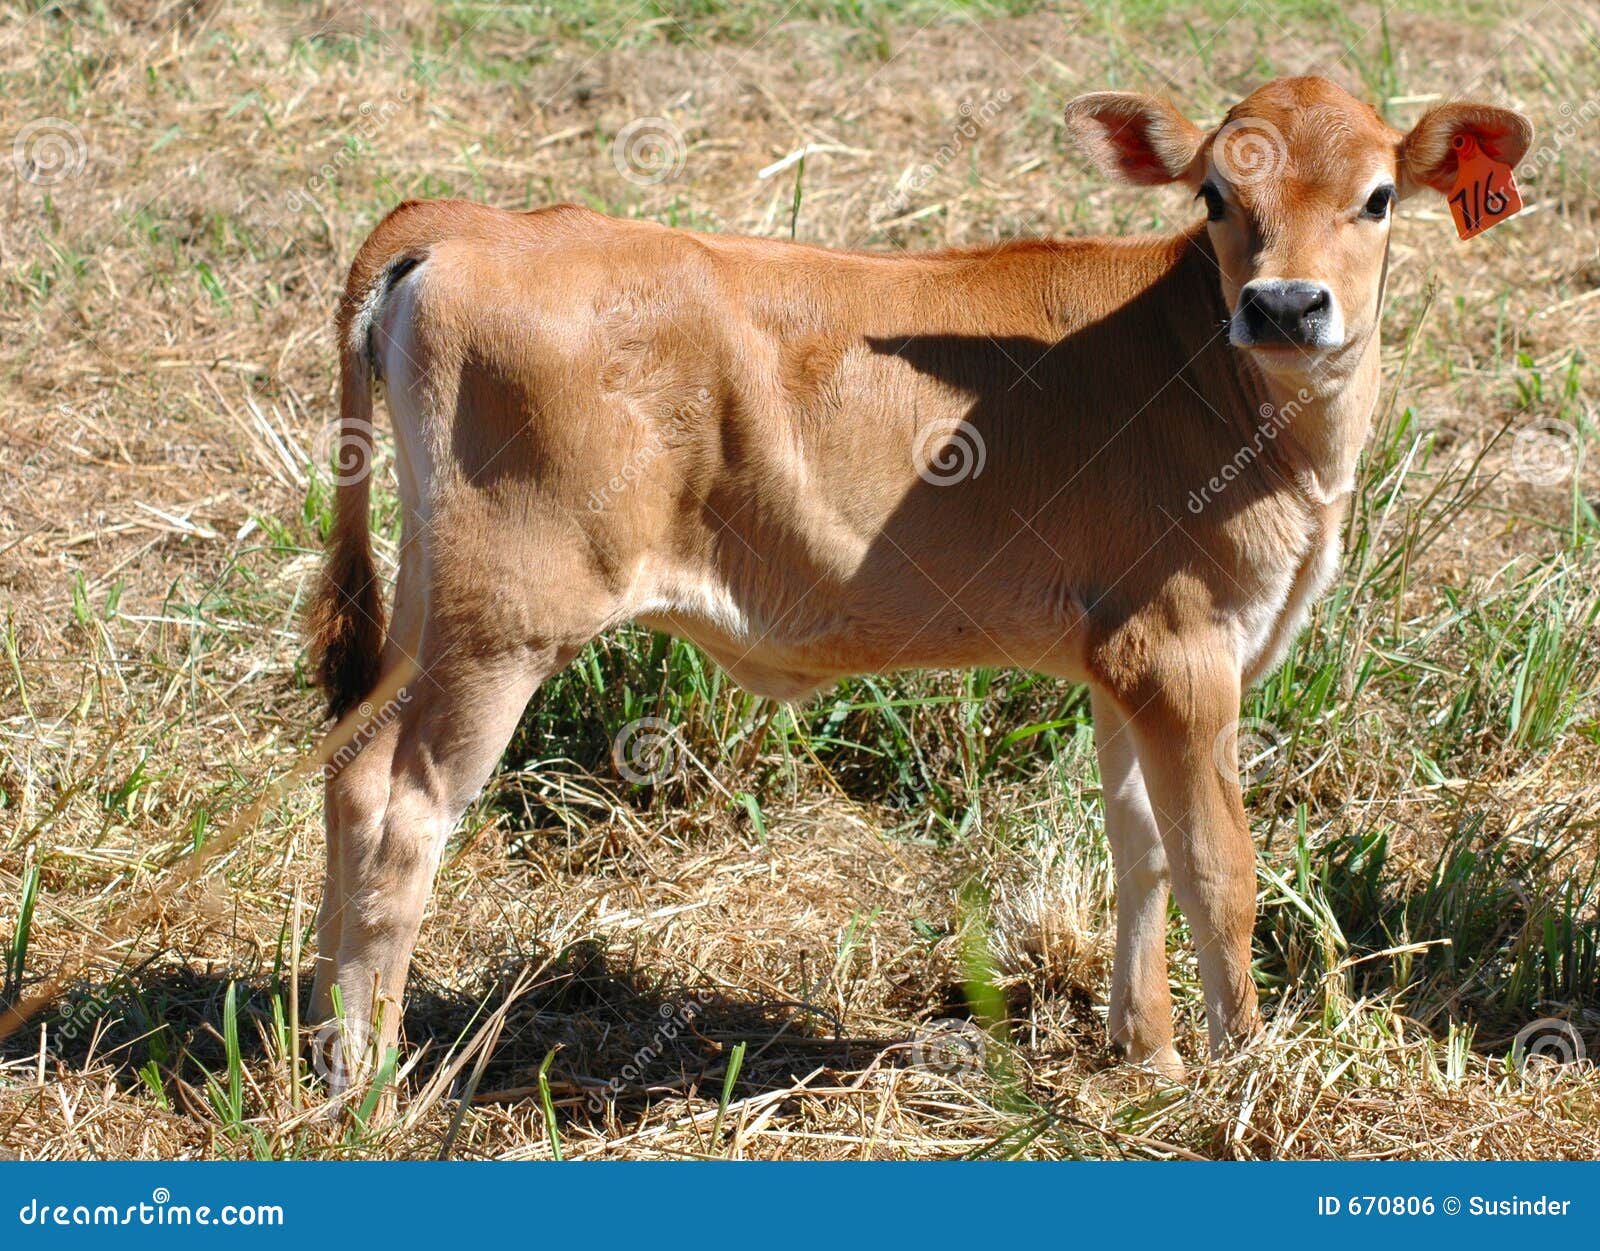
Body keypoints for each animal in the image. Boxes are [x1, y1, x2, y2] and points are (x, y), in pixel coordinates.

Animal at [305, 76, 1532, 1088]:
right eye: (1218, 196)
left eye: (1379, 198)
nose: (1284, 306)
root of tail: (482, 222)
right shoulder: (1184, 650)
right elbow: (1217, 868)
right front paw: (1242, 1078)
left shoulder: (1121, 656)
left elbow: (1139, 849)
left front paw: (1149, 1054)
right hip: (511, 615)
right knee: (404, 809)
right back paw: (368, 1085)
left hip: (433, 600)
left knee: (347, 767)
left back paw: (314, 1048)